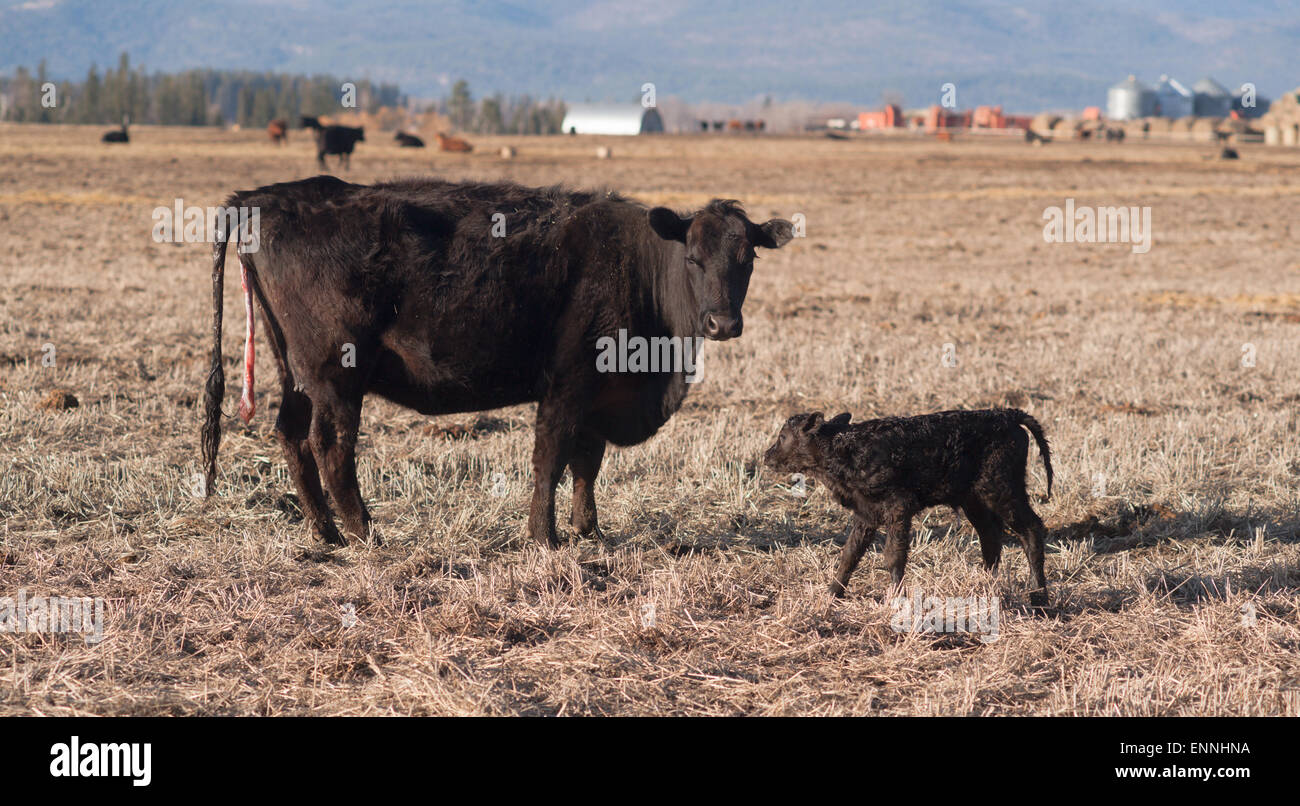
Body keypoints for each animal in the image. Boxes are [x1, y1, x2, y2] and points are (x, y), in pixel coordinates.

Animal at [201, 177, 794, 548]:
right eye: (693, 258)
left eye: (748, 258)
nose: (723, 323)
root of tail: (260, 198)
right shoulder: (568, 384)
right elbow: (551, 457)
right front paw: (545, 538)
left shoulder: (598, 391)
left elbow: (587, 462)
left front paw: (589, 531)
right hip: (334, 376)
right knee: (331, 447)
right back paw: (367, 534)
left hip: (294, 372)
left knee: (292, 436)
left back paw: (325, 533)